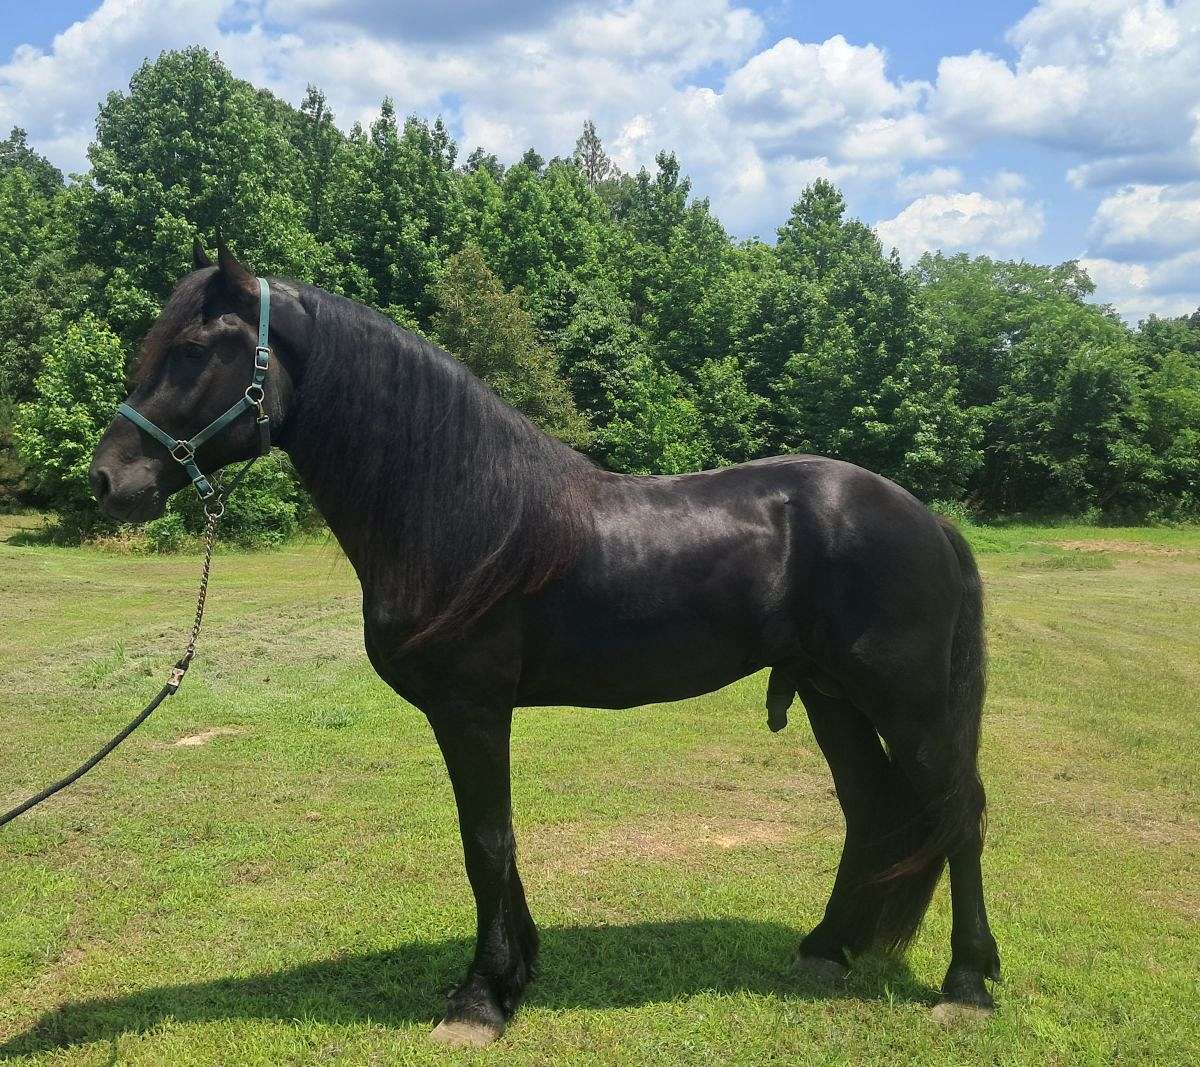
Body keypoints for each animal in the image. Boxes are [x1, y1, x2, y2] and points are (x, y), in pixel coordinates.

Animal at [89, 241, 1000, 1046]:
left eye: (194, 351)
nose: (107, 479)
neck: (461, 511)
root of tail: (928, 519)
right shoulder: (473, 715)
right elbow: (494, 841)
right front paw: (516, 971)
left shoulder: (472, 707)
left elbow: (486, 842)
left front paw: (479, 999)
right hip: (829, 693)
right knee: (871, 806)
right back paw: (826, 949)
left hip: (910, 703)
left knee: (959, 811)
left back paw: (966, 986)